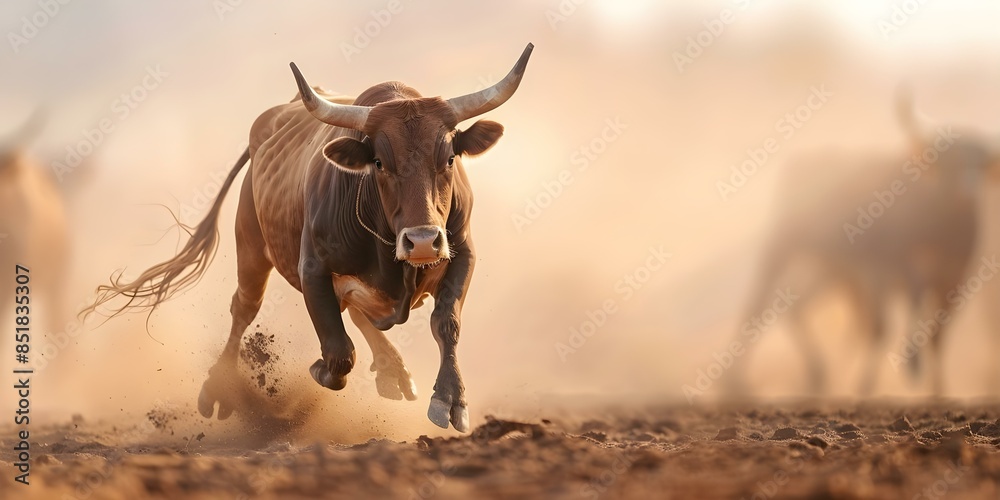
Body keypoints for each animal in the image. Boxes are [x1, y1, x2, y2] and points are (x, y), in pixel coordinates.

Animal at [84, 44, 534, 432]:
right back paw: (219, 388)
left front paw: (450, 399)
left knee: (357, 311)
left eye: (450, 158)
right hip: (250, 246)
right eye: (379, 162)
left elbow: (446, 322)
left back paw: (393, 370)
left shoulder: (462, 255)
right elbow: (338, 350)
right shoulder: (312, 268)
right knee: (244, 308)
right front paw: (321, 368)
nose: (422, 242)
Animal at [727, 89, 1000, 398]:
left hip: (828, 269)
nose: (967, 192)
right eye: (948, 161)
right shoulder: (886, 271)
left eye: (980, 163)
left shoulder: (954, 281)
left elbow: (937, 335)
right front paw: (883, 378)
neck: (941, 232)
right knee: (756, 307)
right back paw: (733, 382)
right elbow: (883, 326)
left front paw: (938, 391)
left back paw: (818, 375)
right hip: (780, 247)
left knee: (792, 309)